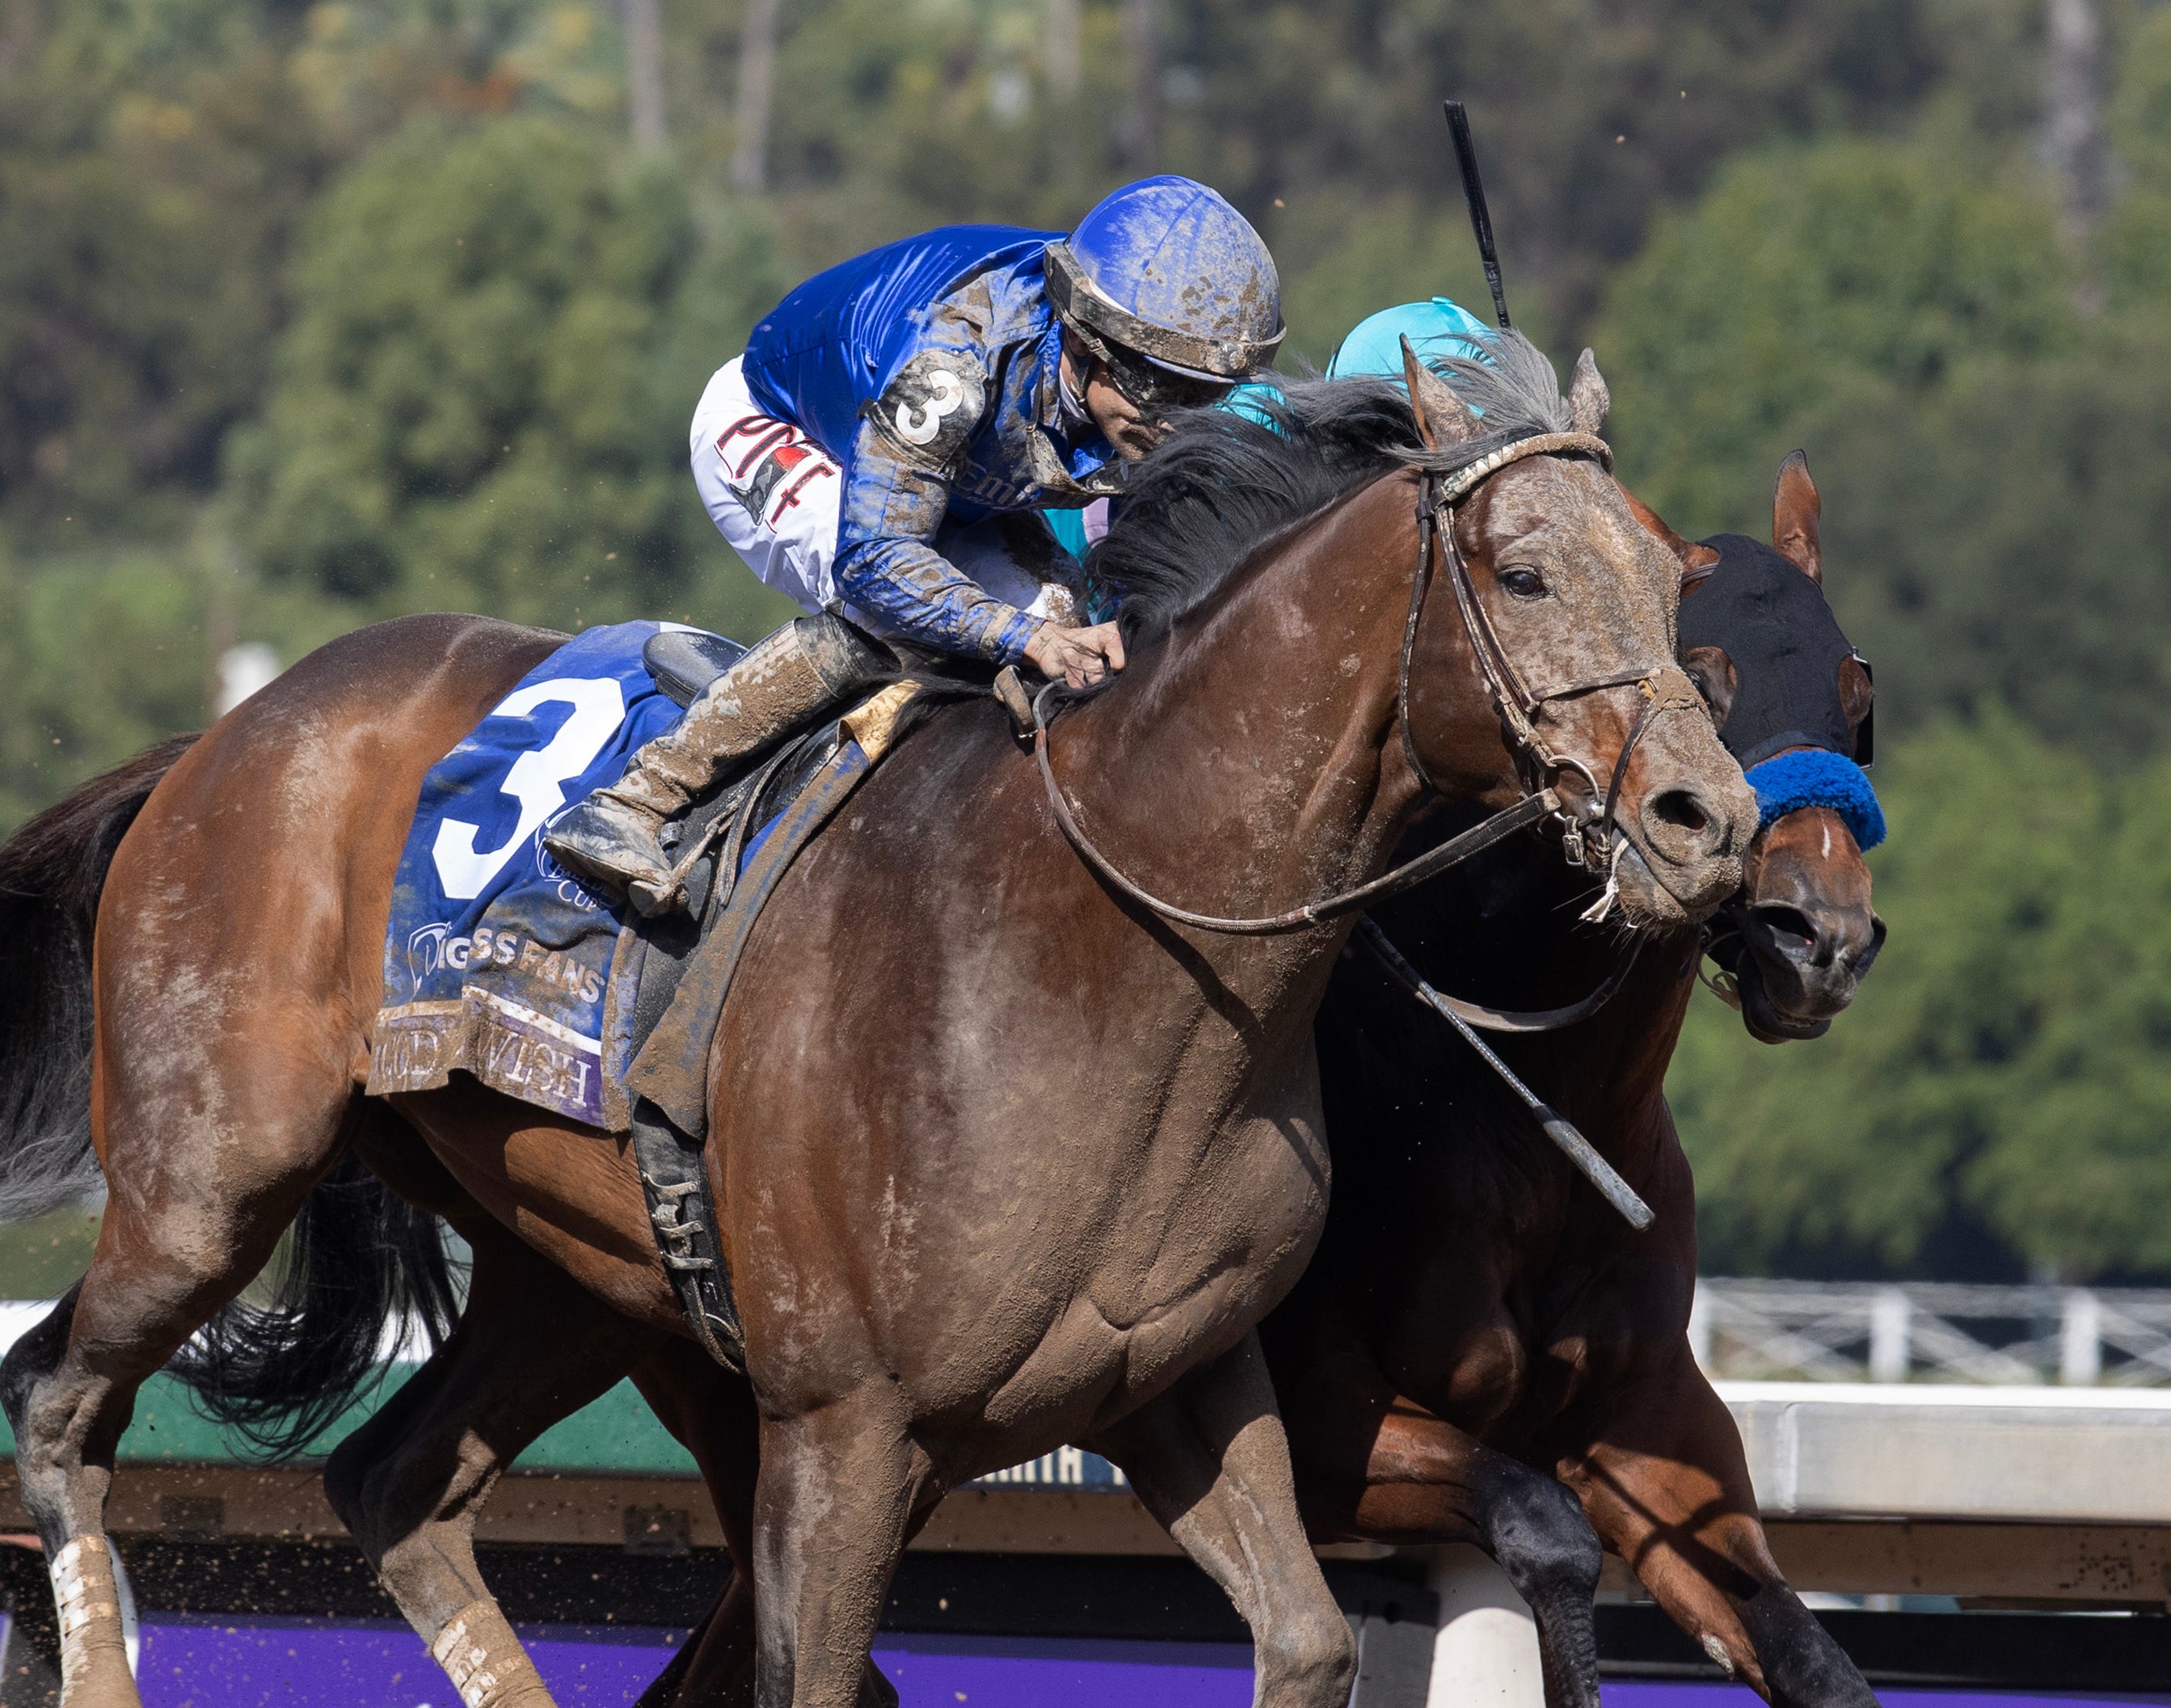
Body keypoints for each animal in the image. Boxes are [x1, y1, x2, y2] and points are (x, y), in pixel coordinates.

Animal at [0, 344, 1755, 1708]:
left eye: (1673, 582)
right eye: (1522, 572)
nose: (1706, 819)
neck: (1108, 954)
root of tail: (230, 732)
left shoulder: (1184, 1384)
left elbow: (1312, 1643)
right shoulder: (846, 1429)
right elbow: (818, 1666)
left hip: (565, 1267)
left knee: (394, 1483)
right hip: (212, 1177)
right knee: (61, 1404)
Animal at [1266, 451, 1886, 1707]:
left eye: (1857, 697)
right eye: (1704, 681)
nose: (1821, 939)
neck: (1541, 1106)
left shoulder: (1651, 1424)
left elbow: (1806, 1654)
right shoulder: (1320, 1412)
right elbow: (1543, 1533)